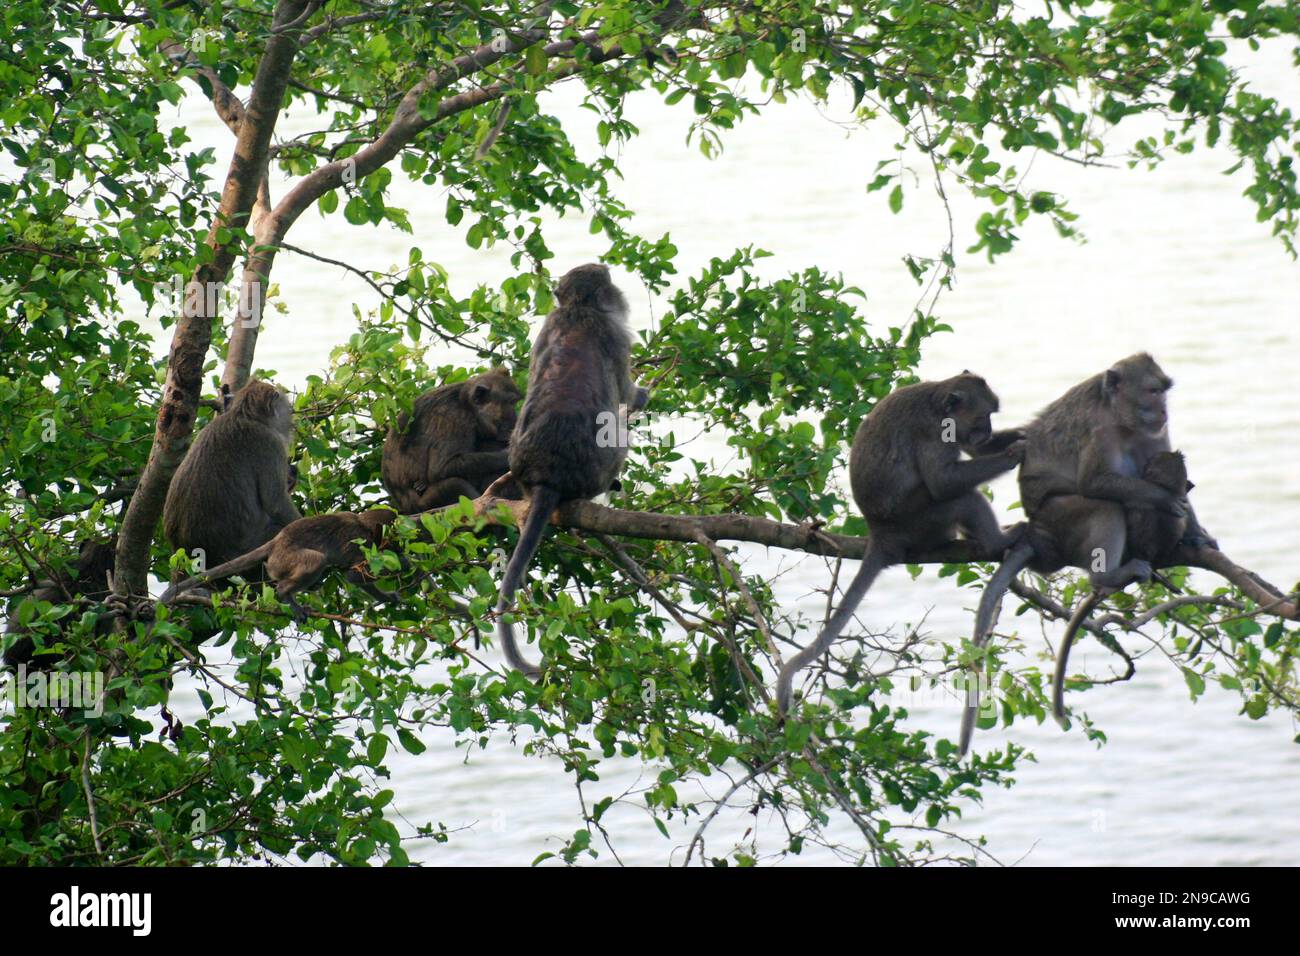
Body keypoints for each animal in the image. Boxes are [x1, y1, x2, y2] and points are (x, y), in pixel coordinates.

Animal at [160, 509, 401, 621]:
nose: (399, 547)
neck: (363, 523)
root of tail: (276, 543)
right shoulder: (362, 543)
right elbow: (354, 576)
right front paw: (388, 592)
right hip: (284, 559)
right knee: (316, 561)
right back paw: (286, 594)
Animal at [381, 368, 522, 514]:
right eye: (511, 402)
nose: (516, 418)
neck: (466, 404)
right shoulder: (454, 417)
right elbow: (441, 467)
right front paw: (510, 455)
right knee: (454, 485)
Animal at [495, 263, 649, 678]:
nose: (620, 292)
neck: (577, 310)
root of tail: (546, 476)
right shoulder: (615, 336)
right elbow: (626, 391)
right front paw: (641, 395)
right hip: (598, 467)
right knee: (619, 432)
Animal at [774, 372, 1028, 714]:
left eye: (991, 416)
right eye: (982, 416)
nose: (987, 430)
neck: (938, 404)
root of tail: (881, 533)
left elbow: (975, 453)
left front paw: (1025, 434)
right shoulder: (933, 430)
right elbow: (944, 482)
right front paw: (1014, 453)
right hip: (920, 522)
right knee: (962, 499)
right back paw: (996, 542)